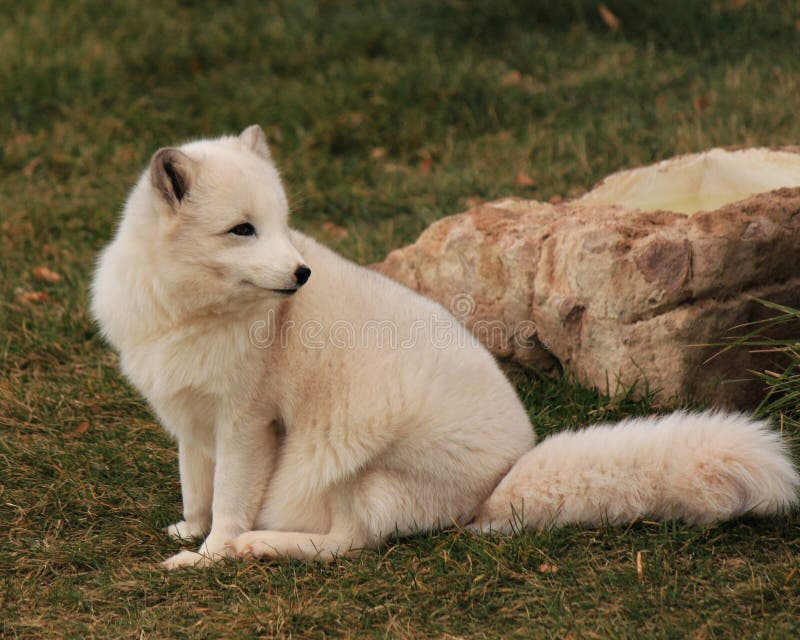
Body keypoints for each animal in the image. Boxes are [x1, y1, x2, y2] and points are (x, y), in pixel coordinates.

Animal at [91, 125, 799, 569]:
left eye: (280, 224)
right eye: (242, 230)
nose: (300, 274)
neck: (187, 315)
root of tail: (494, 486)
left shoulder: (247, 424)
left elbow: (232, 500)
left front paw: (207, 556)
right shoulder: (191, 418)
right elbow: (197, 487)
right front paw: (190, 529)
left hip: (351, 454)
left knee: (352, 544)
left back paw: (262, 546)